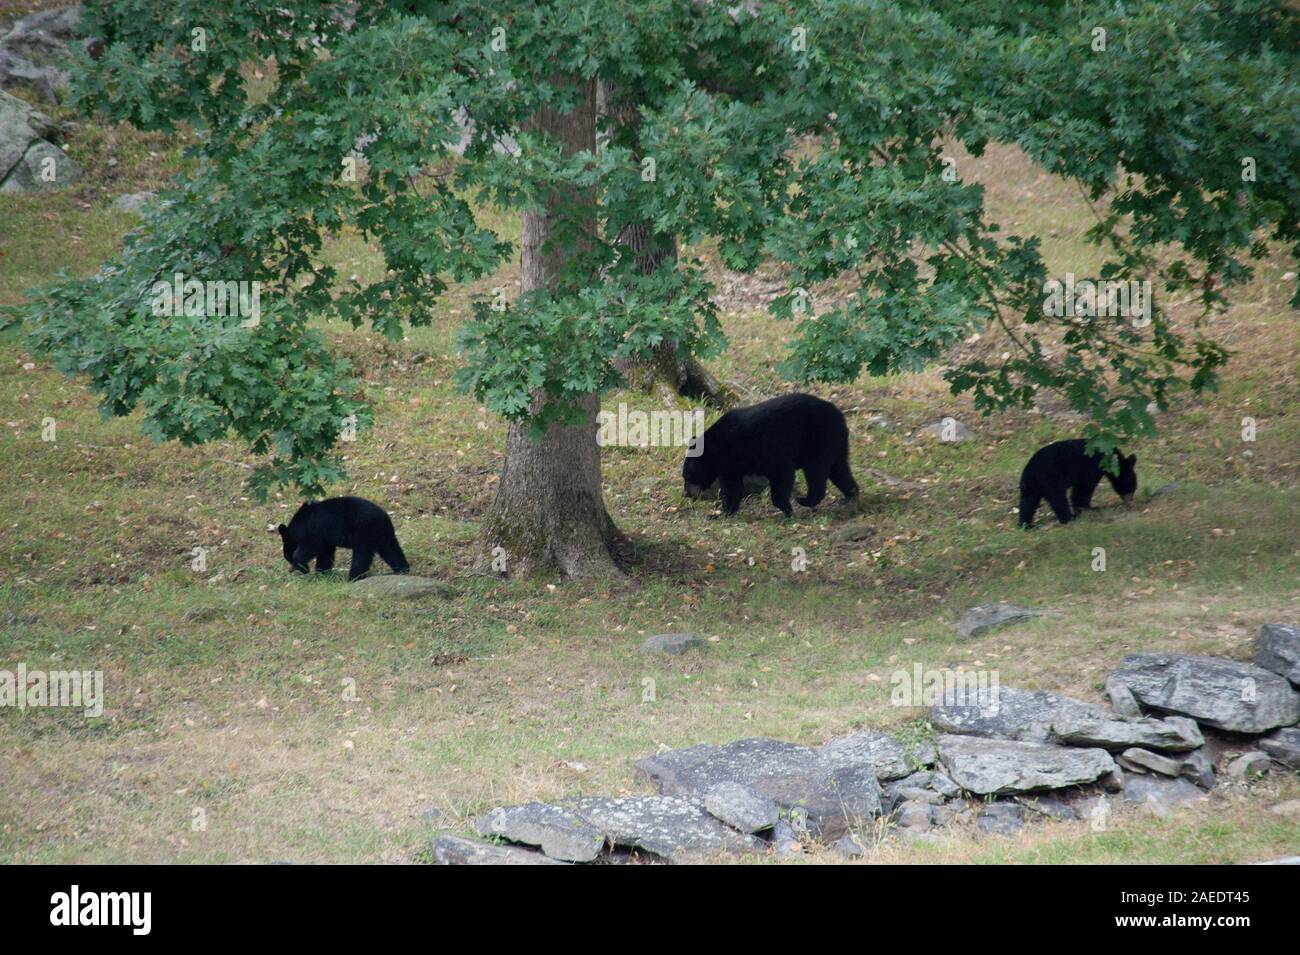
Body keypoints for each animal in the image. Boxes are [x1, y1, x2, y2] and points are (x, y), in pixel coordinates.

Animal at [277, 497, 409, 581]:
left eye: (287, 557)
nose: (290, 568)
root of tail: (385, 518)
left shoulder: (314, 532)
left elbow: (309, 548)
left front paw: (300, 565)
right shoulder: (326, 540)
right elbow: (325, 555)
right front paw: (322, 574)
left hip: (365, 535)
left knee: (360, 559)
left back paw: (353, 579)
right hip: (384, 536)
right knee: (392, 551)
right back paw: (402, 570)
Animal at [682, 393, 859, 516]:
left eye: (688, 476)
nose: (685, 494)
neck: (724, 447)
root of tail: (839, 413)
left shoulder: (760, 445)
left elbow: (782, 469)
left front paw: (786, 508)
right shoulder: (731, 466)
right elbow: (732, 487)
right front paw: (723, 513)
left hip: (820, 438)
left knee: (816, 469)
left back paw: (806, 500)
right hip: (836, 442)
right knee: (839, 469)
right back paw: (851, 494)